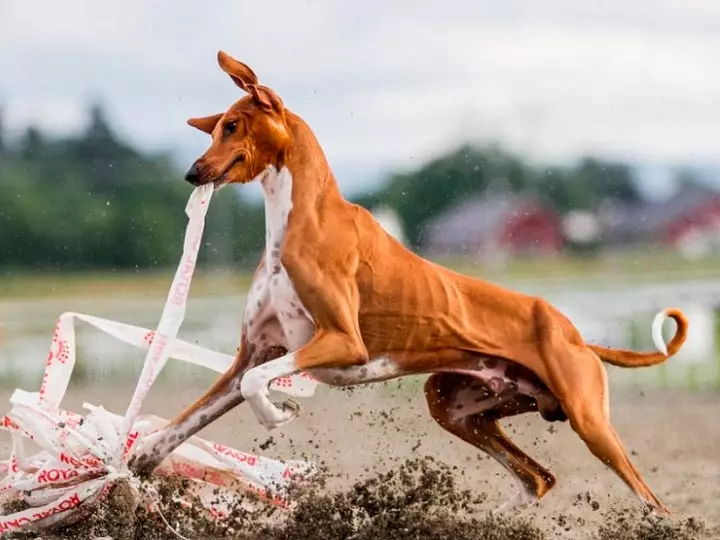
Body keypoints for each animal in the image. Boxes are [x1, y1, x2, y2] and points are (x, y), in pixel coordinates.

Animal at [128, 51, 688, 516]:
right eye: (213, 130)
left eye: (232, 125)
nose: (192, 172)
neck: (296, 221)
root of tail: (578, 336)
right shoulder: (254, 353)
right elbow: (184, 422)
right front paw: (136, 462)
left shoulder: (341, 342)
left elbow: (256, 386)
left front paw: (279, 413)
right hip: (453, 405)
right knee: (539, 479)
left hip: (591, 423)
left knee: (651, 501)